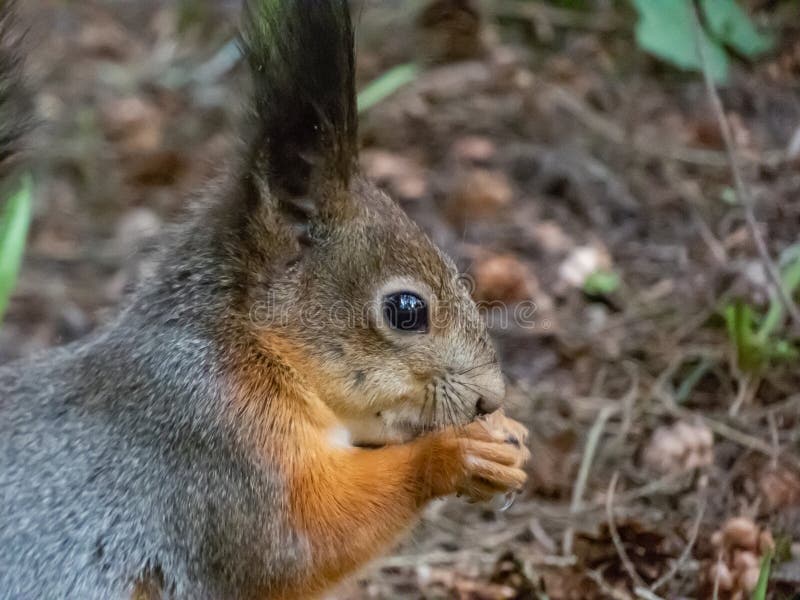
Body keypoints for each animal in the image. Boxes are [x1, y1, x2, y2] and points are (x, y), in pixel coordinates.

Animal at [0, 1, 530, 599]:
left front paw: (512, 435)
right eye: (406, 311)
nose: (490, 398)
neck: (247, 345)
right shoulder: (205, 440)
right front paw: (455, 454)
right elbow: (301, 540)